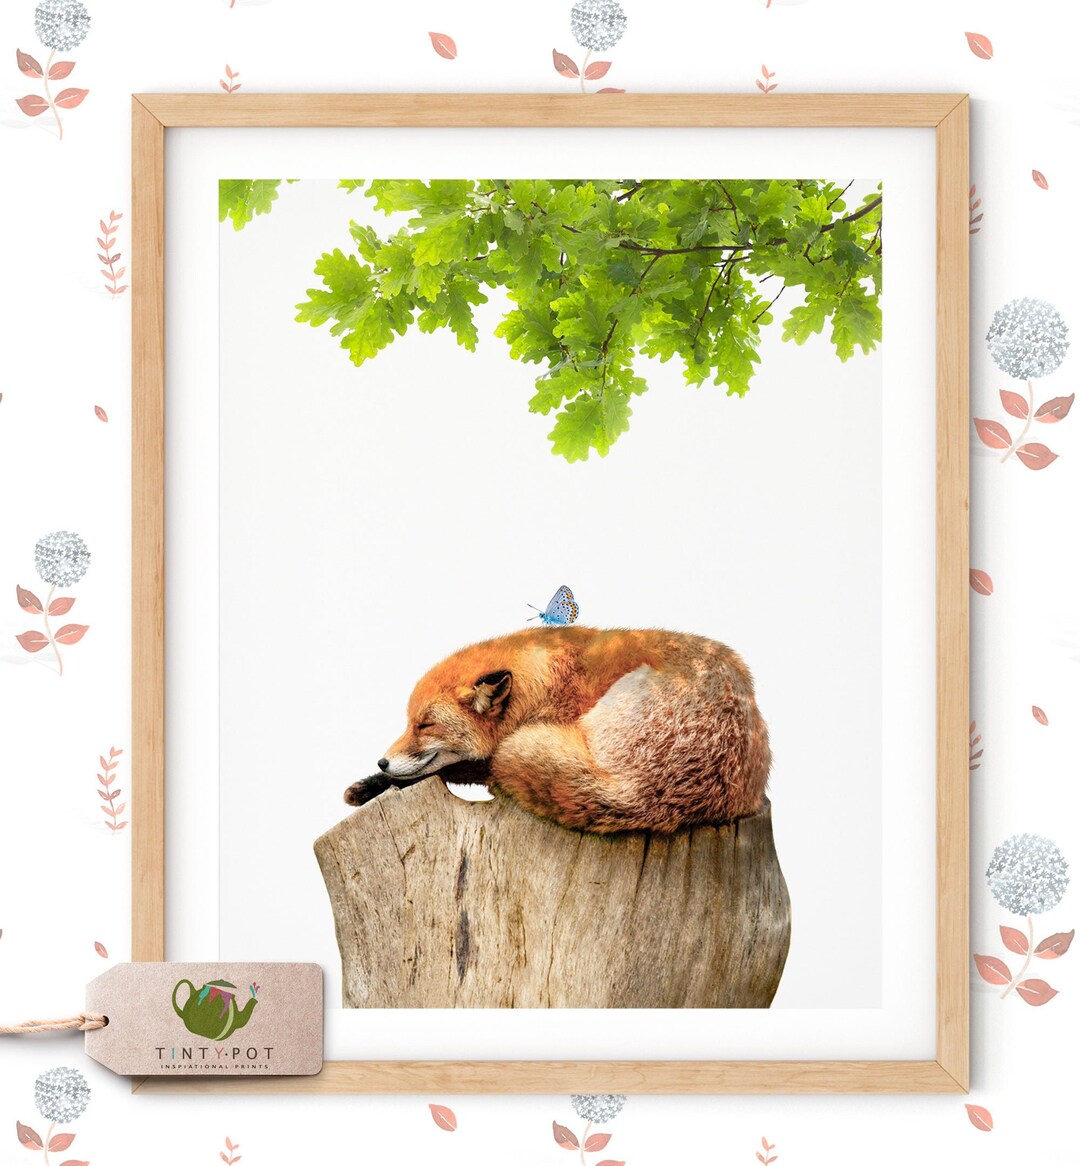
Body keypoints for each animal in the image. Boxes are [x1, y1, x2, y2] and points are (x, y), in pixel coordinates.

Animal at [344, 626, 771, 834]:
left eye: (425, 724)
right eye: (409, 722)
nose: (382, 762)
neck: (546, 682)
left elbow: (459, 767)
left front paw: (375, 785)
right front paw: (369, 784)